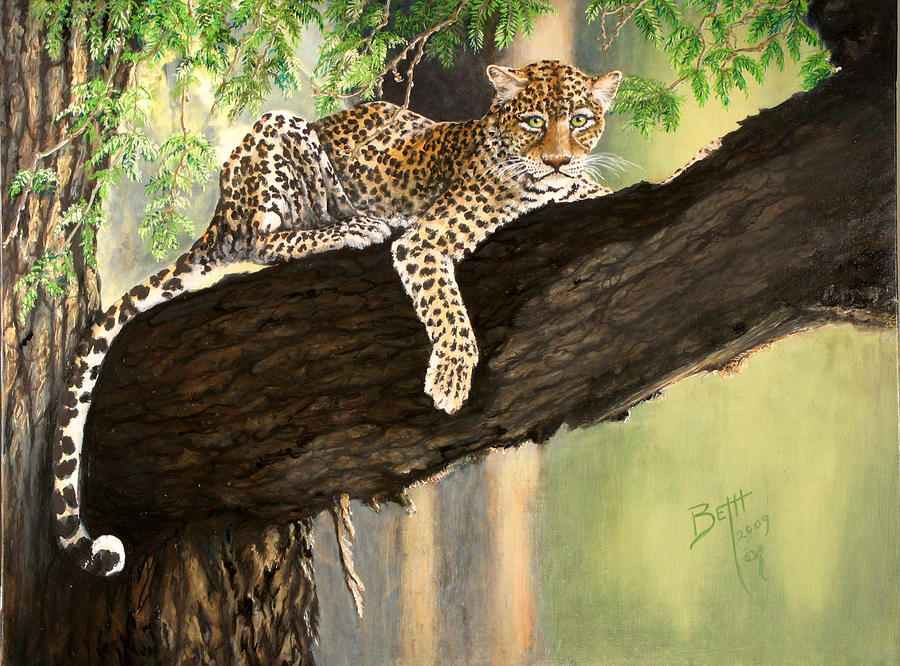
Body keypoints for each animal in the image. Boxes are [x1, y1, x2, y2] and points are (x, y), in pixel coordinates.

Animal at [52, 59, 622, 576]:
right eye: (533, 121)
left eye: (579, 120)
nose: (557, 161)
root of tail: (219, 212)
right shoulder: (425, 240)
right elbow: (448, 309)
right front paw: (451, 379)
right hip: (279, 135)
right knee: (264, 242)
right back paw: (356, 226)